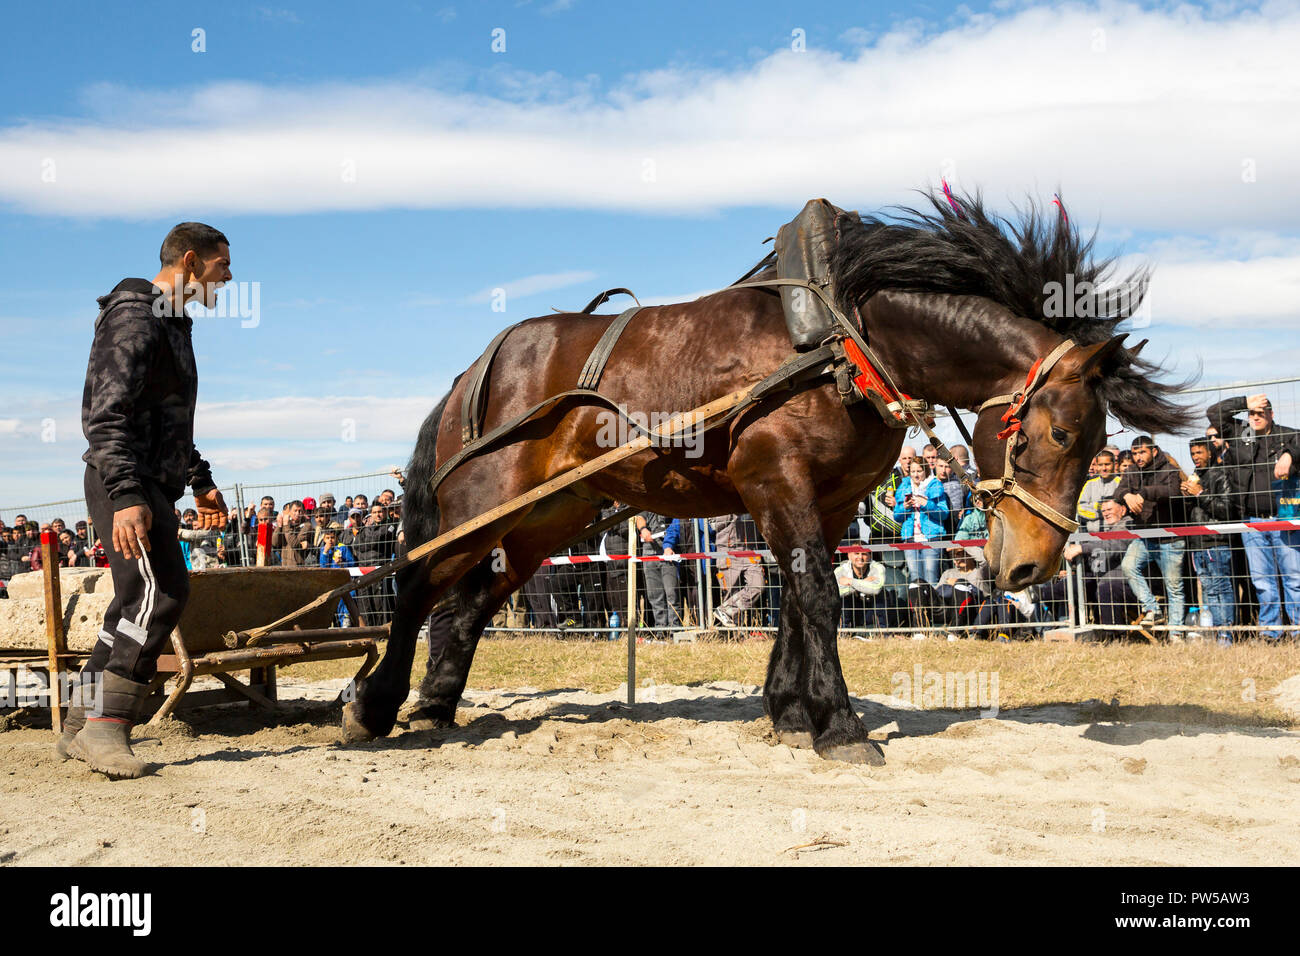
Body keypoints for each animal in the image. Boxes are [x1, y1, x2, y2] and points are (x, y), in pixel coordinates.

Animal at [341, 188, 1194, 764]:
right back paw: (373, 707)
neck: (840, 341)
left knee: (471, 601)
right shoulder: (775, 479)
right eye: (1060, 432)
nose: (1034, 566)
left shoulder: (832, 498)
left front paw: (789, 710)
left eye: (1097, 446)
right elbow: (816, 594)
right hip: (483, 504)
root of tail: (474, 373)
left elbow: (799, 596)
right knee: (416, 584)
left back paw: (435, 704)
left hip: (546, 519)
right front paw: (840, 726)